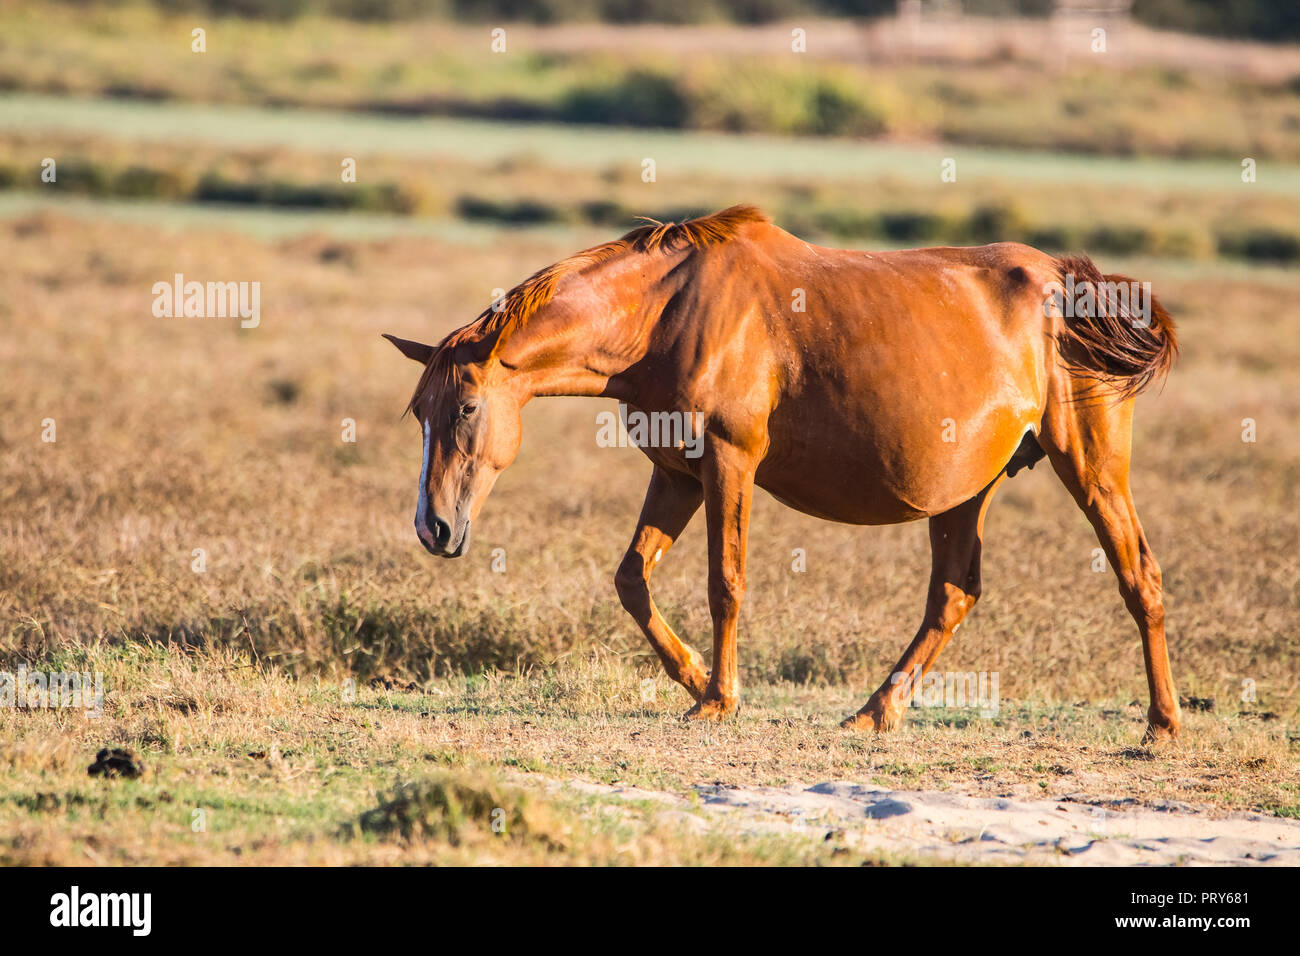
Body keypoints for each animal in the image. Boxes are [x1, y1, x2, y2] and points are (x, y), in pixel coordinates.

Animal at [384, 205, 1181, 741]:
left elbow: (725, 585)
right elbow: (632, 579)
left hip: (1092, 467)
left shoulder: (728, 463)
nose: (435, 527)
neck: (669, 312)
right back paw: (875, 711)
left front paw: (718, 698)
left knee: (1138, 576)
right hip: (968, 491)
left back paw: (1162, 724)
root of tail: (1075, 285)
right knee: (953, 595)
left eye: (465, 408)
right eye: (419, 411)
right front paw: (691, 676)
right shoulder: (677, 474)